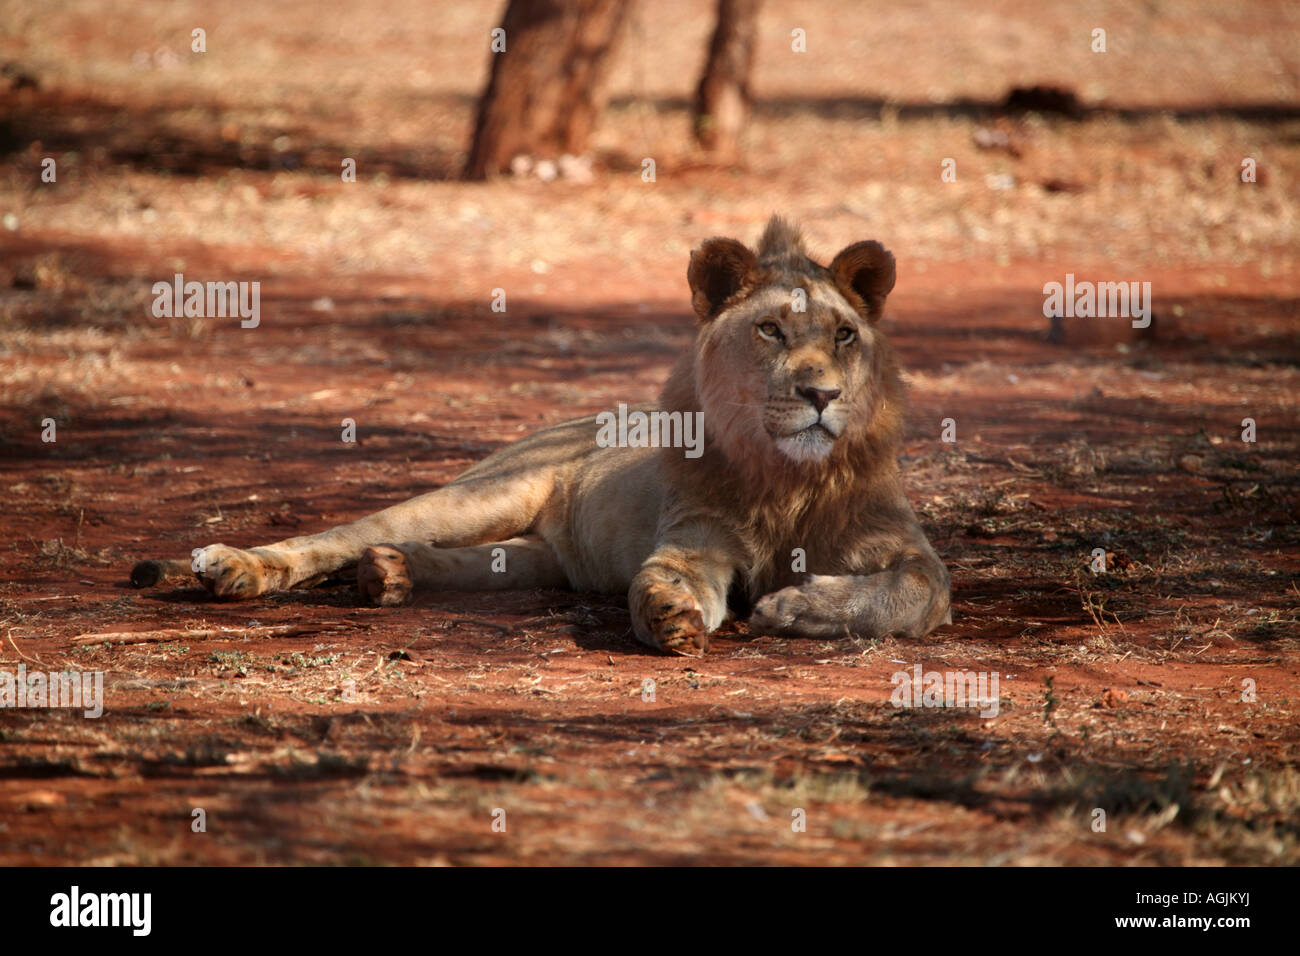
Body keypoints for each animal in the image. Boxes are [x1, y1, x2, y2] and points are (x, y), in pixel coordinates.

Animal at [131, 216, 951, 655]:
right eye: (772, 330)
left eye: (844, 336)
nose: (821, 395)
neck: (789, 480)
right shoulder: (695, 540)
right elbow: (664, 580)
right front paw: (675, 613)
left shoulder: (908, 551)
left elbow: (908, 591)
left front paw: (795, 607)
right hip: (482, 493)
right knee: (338, 533)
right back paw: (238, 566)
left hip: (533, 555)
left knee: (462, 558)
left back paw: (389, 574)